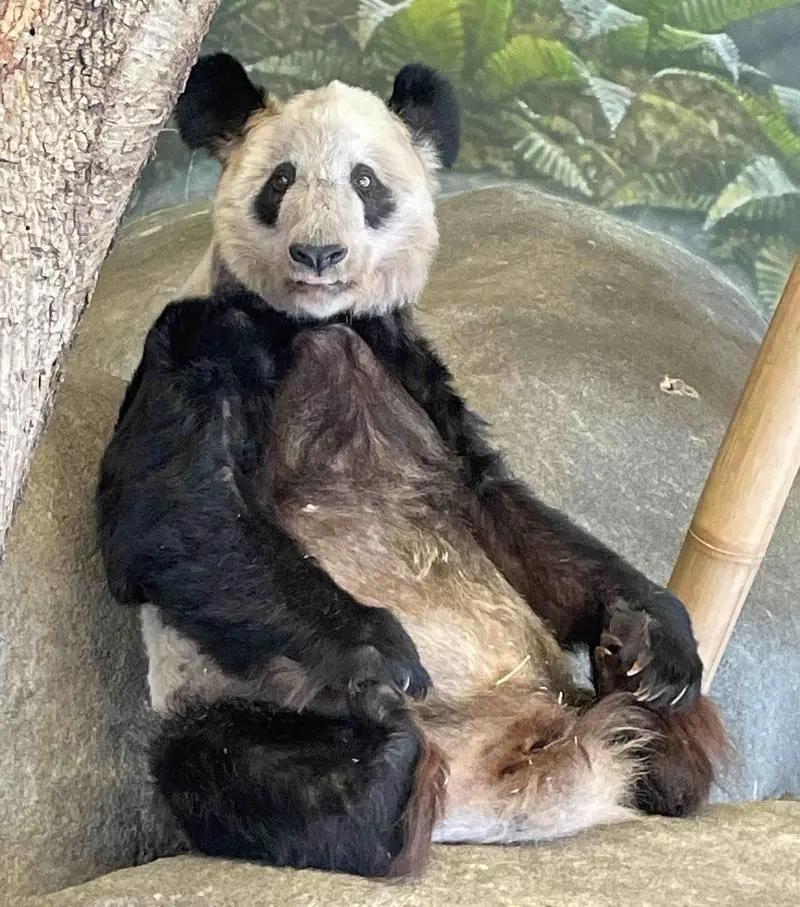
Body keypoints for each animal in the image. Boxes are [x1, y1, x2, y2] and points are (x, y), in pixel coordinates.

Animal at [96, 53, 727, 879]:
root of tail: (498, 783)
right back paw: (386, 768)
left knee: (670, 717)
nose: (319, 253)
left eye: (366, 182)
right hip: (242, 693)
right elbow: (172, 512)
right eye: (280, 181)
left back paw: (645, 703)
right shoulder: (202, 334)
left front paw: (655, 632)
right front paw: (386, 658)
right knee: (233, 765)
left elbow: (501, 506)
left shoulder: (408, 360)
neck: (316, 323)